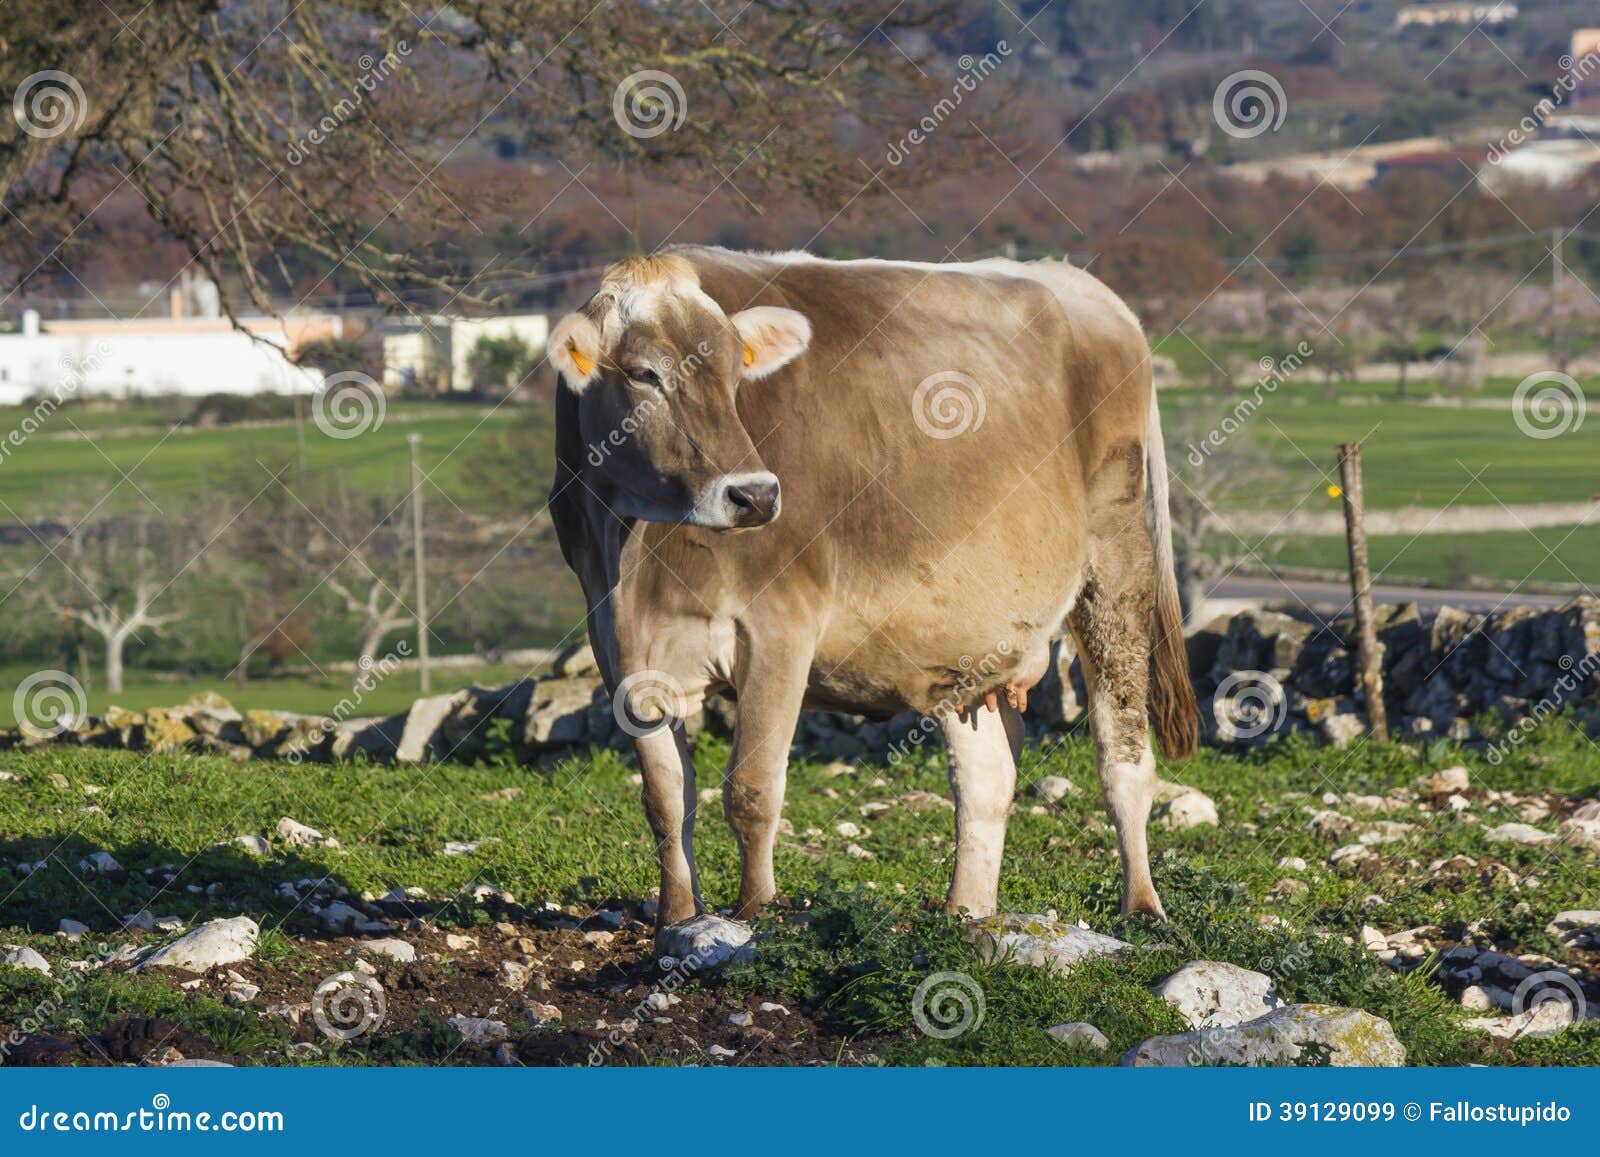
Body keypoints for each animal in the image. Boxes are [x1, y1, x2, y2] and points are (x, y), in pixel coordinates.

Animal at [547, 247, 1198, 940]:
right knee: (987, 778)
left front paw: (756, 915)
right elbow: (666, 798)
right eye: (645, 374)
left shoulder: (780, 624)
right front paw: (676, 918)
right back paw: (966, 914)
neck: (638, 557)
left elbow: (752, 789)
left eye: (733, 370)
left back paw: (1142, 906)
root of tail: (1081, 284)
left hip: (1117, 559)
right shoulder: (619, 646)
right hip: (969, 643)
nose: (755, 495)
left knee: (1122, 754)